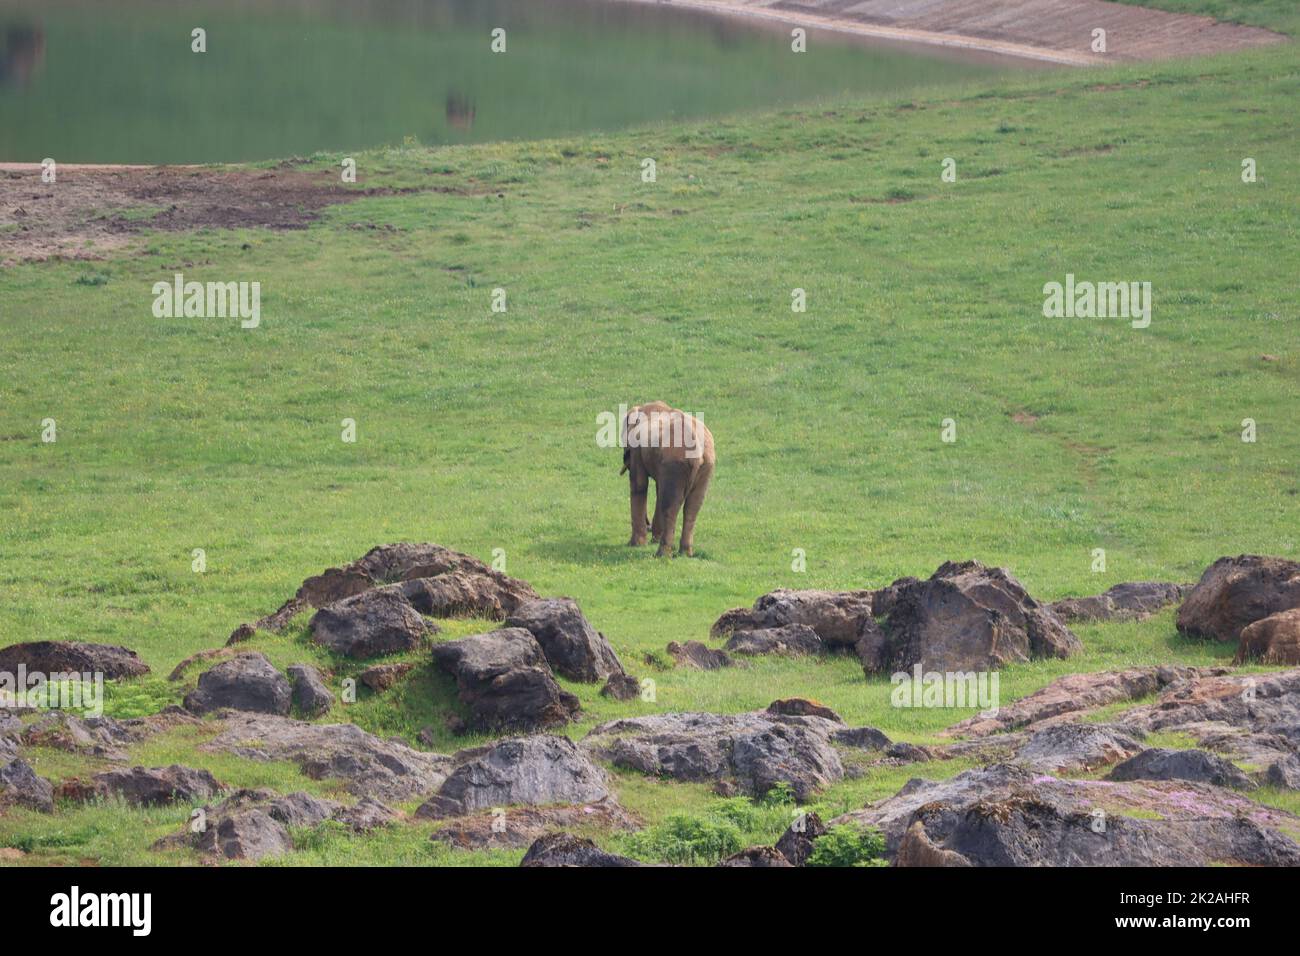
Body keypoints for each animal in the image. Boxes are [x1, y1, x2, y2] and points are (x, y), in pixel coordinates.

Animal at [619, 401, 715, 557]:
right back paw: (685, 553)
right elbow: (659, 489)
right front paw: (652, 540)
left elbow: (639, 485)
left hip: (676, 463)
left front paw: (635, 545)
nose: (648, 526)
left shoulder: (637, 449)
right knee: (693, 506)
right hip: (706, 465)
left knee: (671, 506)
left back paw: (662, 554)